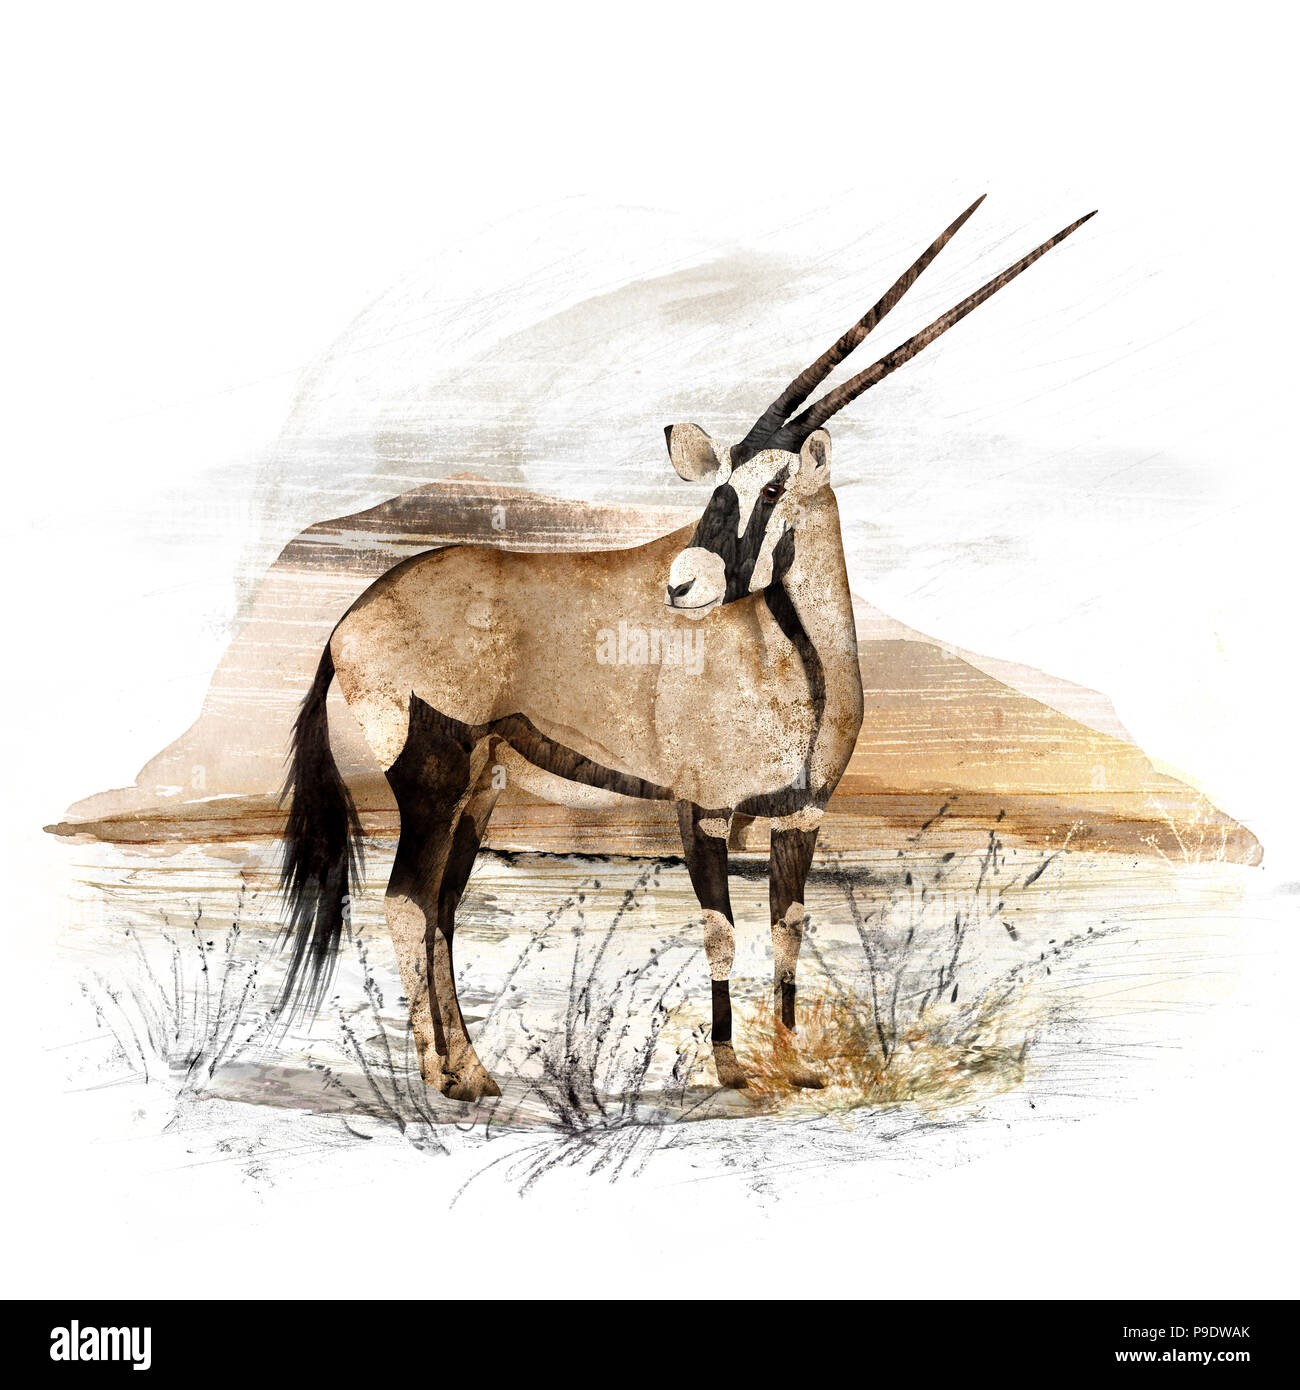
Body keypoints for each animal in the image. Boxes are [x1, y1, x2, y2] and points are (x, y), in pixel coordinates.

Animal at [279, 197, 1095, 1100]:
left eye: (771, 487)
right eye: (719, 485)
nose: (681, 585)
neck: (800, 662)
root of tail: (349, 620)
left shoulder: (799, 815)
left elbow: (788, 929)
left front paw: (794, 1062)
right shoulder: (699, 809)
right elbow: (721, 929)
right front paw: (733, 1067)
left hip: (479, 789)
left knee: (442, 910)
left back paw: (476, 1070)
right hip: (433, 771)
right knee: (406, 904)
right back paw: (441, 1075)